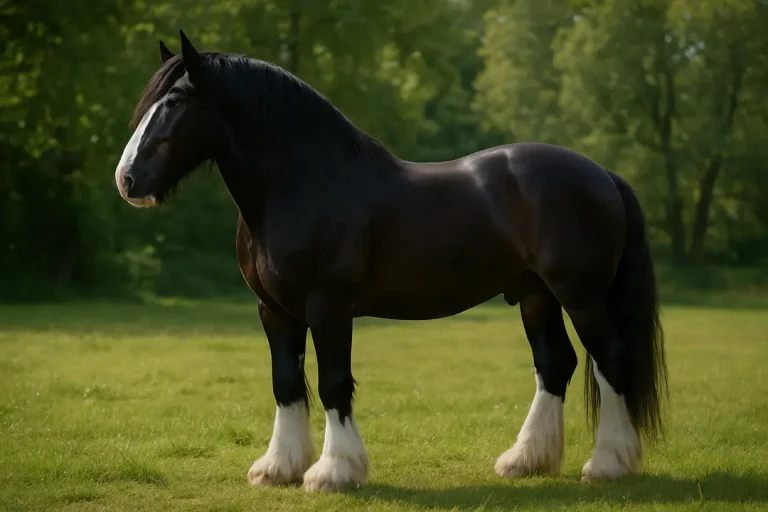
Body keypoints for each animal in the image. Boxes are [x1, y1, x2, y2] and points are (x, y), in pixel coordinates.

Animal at [114, 31, 668, 492]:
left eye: (175, 101)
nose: (127, 180)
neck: (306, 182)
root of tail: (602, 174)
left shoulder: (328, 307)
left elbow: (333, 382)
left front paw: (334, 472)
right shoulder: (275, 312)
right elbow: (286, 383)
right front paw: (278, 468)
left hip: (582, 296)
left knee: (611, 360)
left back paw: (607, 464)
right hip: (535, 295)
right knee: (556, 365)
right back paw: (525, 460)